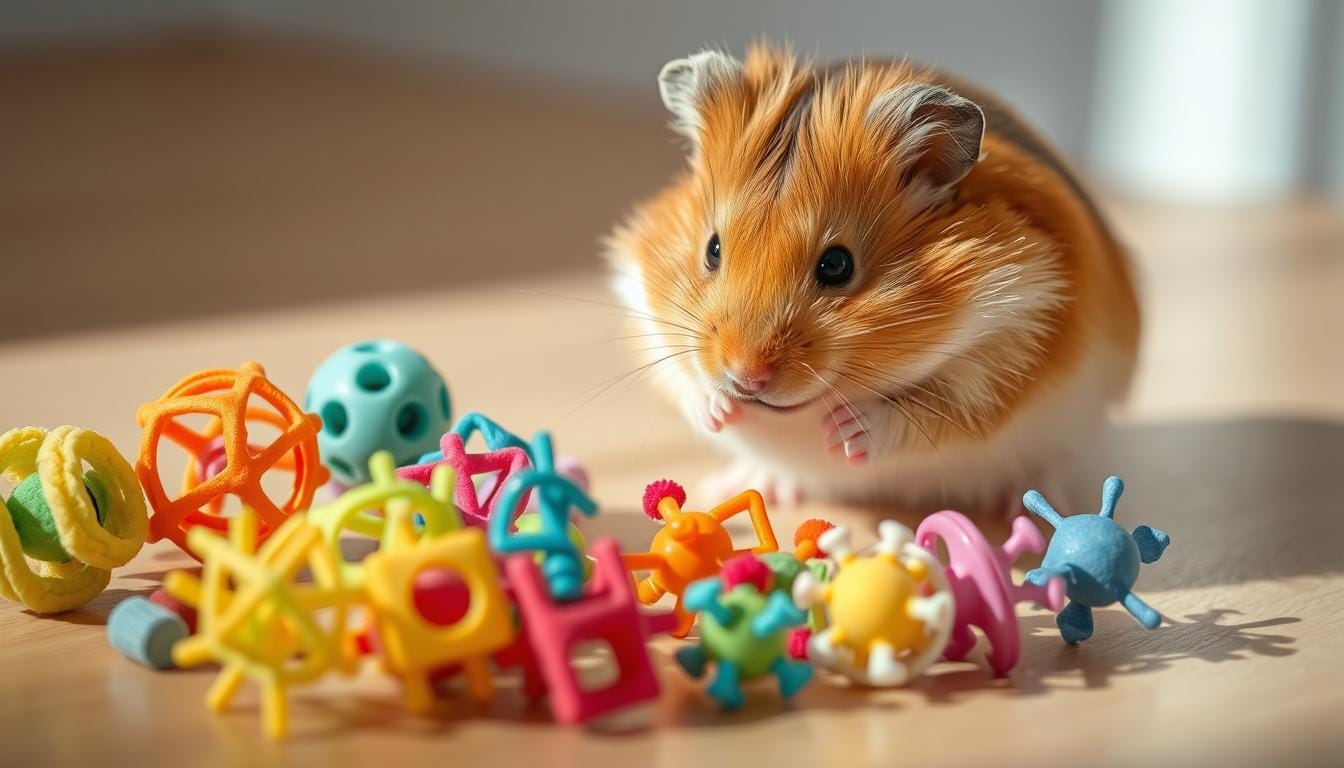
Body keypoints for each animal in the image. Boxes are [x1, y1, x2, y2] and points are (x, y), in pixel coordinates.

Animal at [605, 44, 1139, 516]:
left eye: (837, 265)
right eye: (712, 249)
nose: (745, 377)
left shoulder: (1022, 329)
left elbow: (931, 412)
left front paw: (842, 434)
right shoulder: (645, 310)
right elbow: (682, 378)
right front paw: (719, 410)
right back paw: (737, 484)